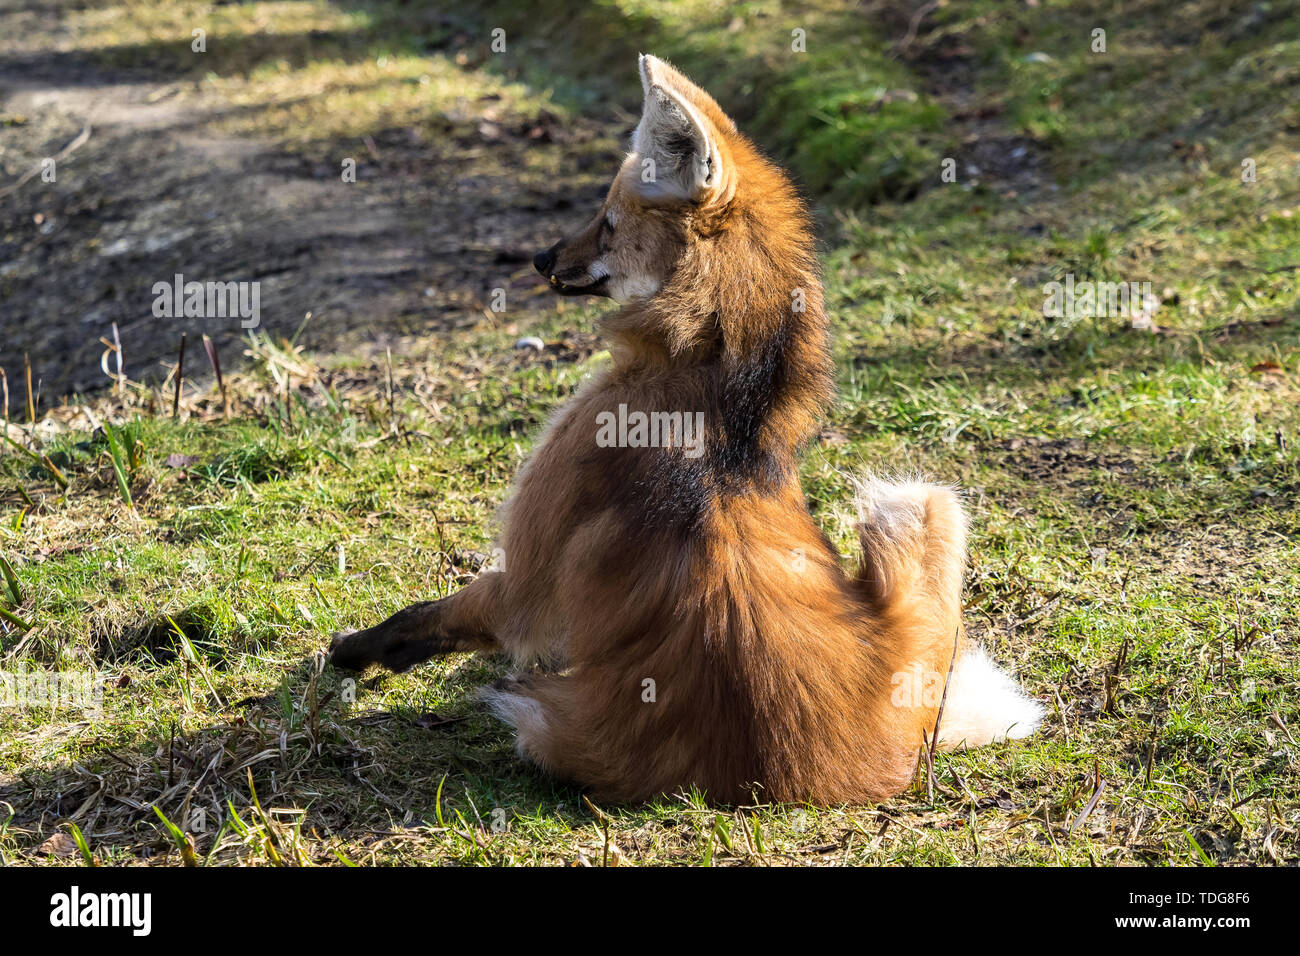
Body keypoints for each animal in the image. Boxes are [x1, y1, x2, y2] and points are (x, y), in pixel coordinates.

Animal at [329, 55, 1042, 803]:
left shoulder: (525, 576)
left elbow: (435, 615)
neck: (717, 376)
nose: (540, 259)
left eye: (608, 223)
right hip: (934, 504)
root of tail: (835, 777)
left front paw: (348, 654)